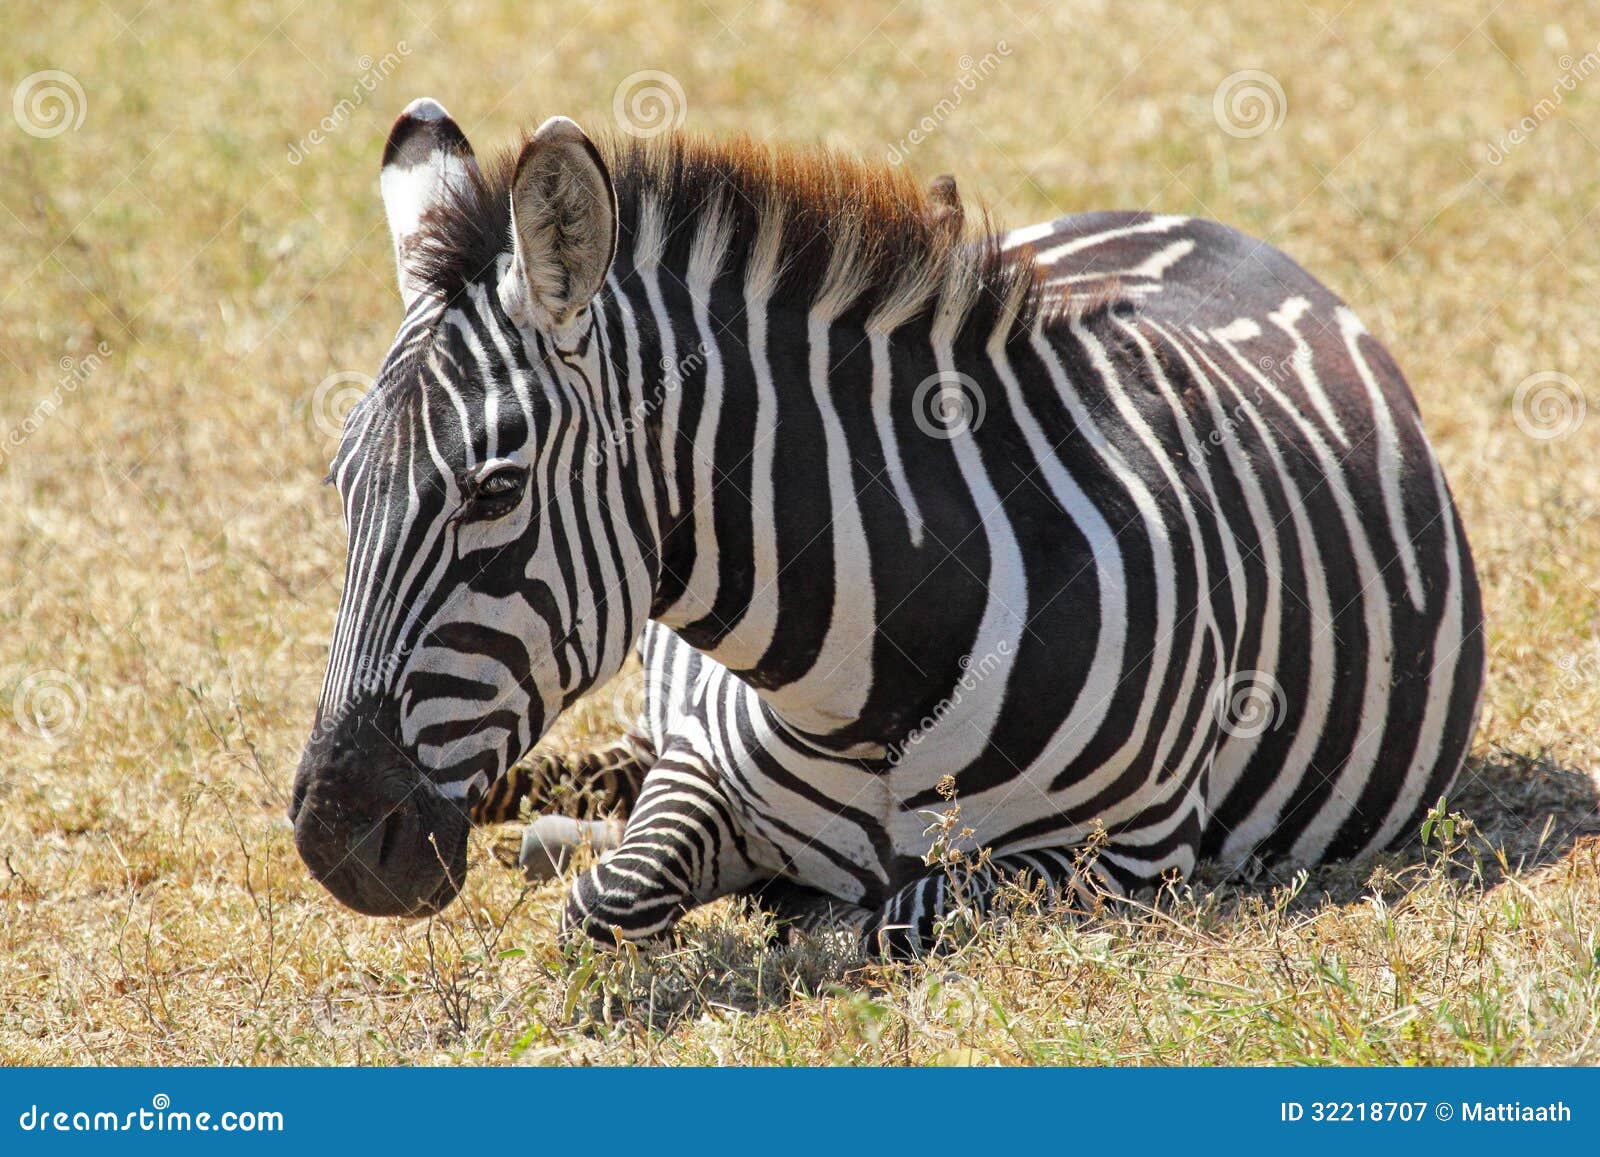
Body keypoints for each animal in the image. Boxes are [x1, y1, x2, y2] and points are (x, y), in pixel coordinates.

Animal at [289, 97, 1484, 957]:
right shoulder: (698, 772)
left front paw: (797, 909)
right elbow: (610, 897)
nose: (334, 842)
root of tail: (1198, 221)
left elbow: (886, 918)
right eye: (342, 487)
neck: (860, 687)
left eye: (493, 490)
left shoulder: (1117, 861)